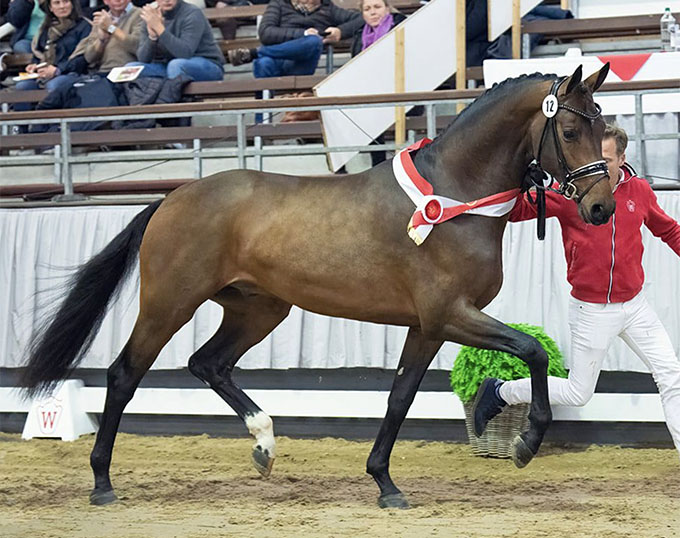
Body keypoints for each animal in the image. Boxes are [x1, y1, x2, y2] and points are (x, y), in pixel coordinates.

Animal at [20, 64, 615, 510]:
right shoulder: (451, 314)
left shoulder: (427, 326)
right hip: (169, 303)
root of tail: (172, 198)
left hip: (260, 310)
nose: (601, 208)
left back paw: (264, 444)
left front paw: (384, 483)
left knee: (208, 363)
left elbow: (400, 397)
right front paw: (526, 442)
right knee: (124, 375)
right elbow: (532, 350)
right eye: (569, 131)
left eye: (601, 123)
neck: (457, 195)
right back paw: (102, 483)